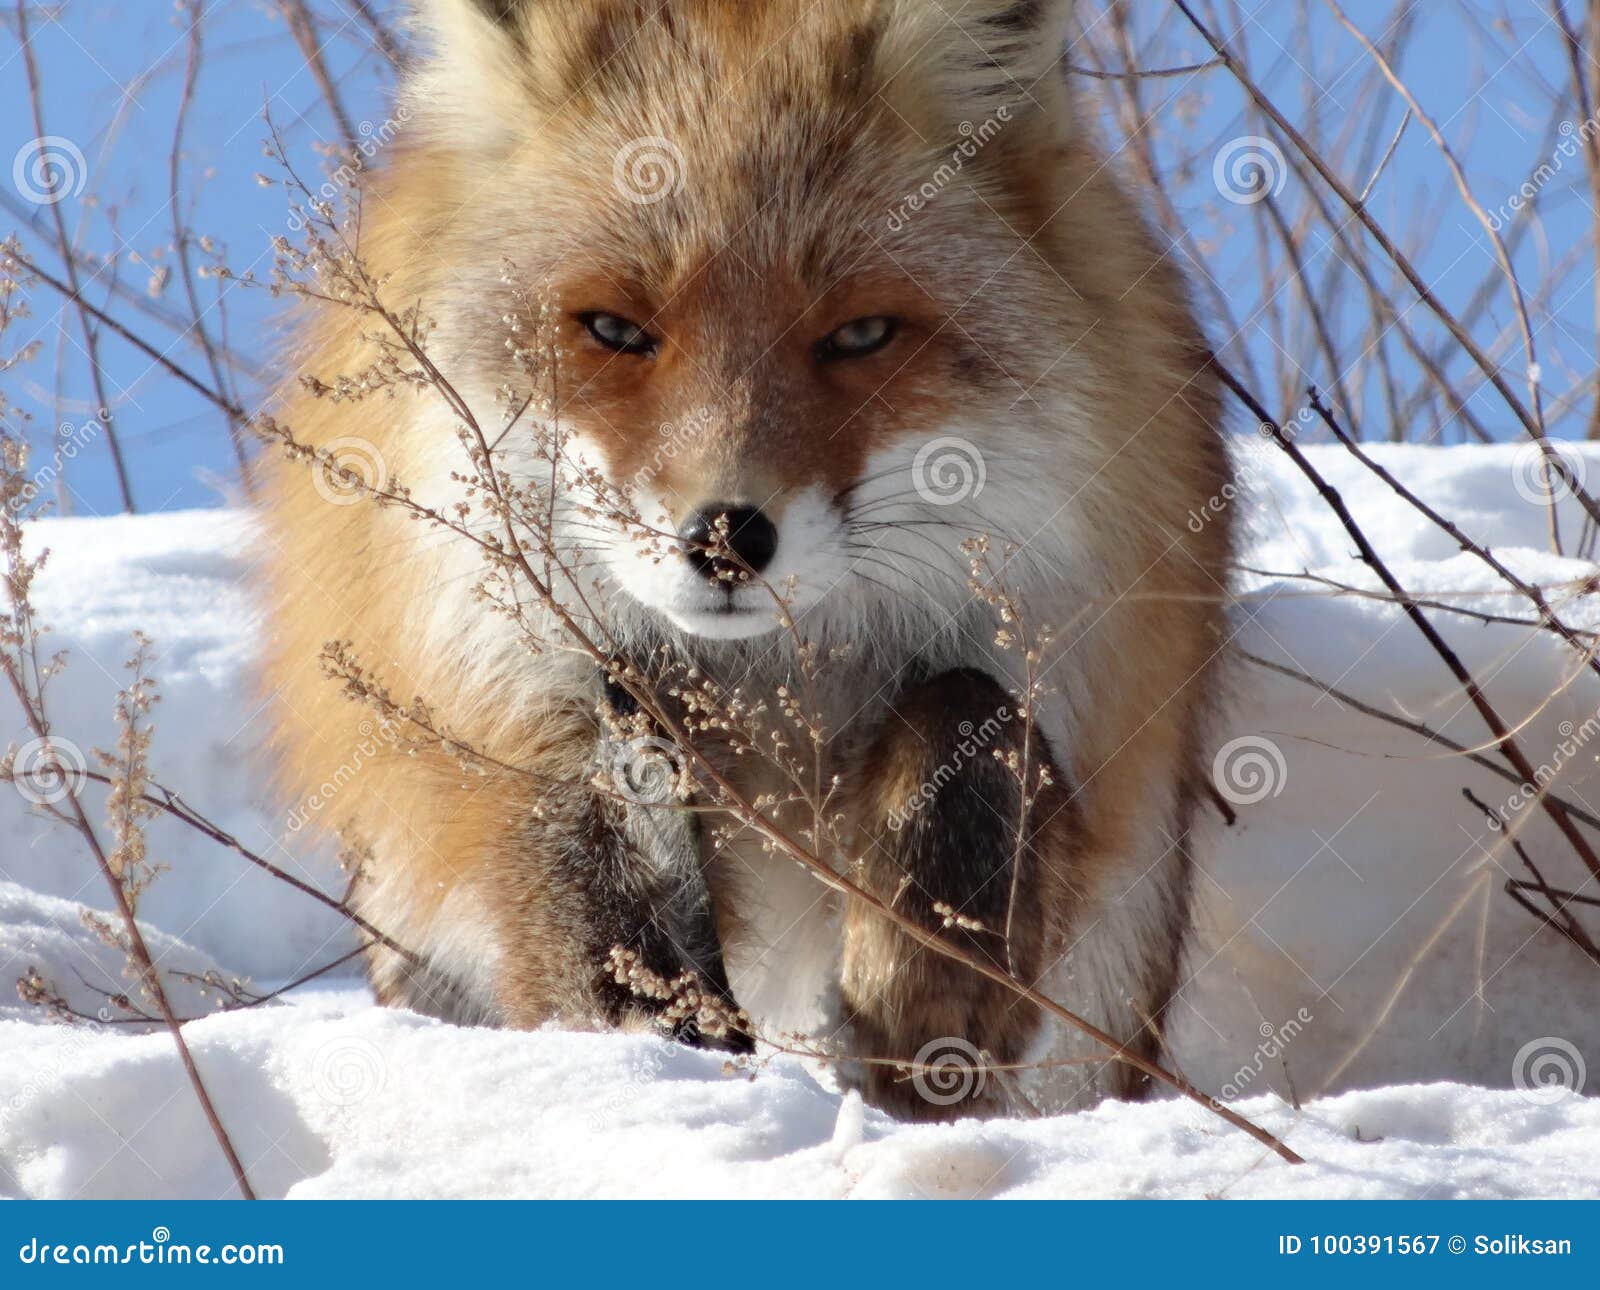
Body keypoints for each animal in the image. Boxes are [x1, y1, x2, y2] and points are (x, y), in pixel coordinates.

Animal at [257, 0, 1234, 1120]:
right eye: (613, 329)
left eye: (860, 333)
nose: (724, 538)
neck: (763, 693)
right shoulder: (525, 701)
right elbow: (594, 889)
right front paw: (659, 1051)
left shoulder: (1078, 717)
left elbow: (968, 709)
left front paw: (930, 983)